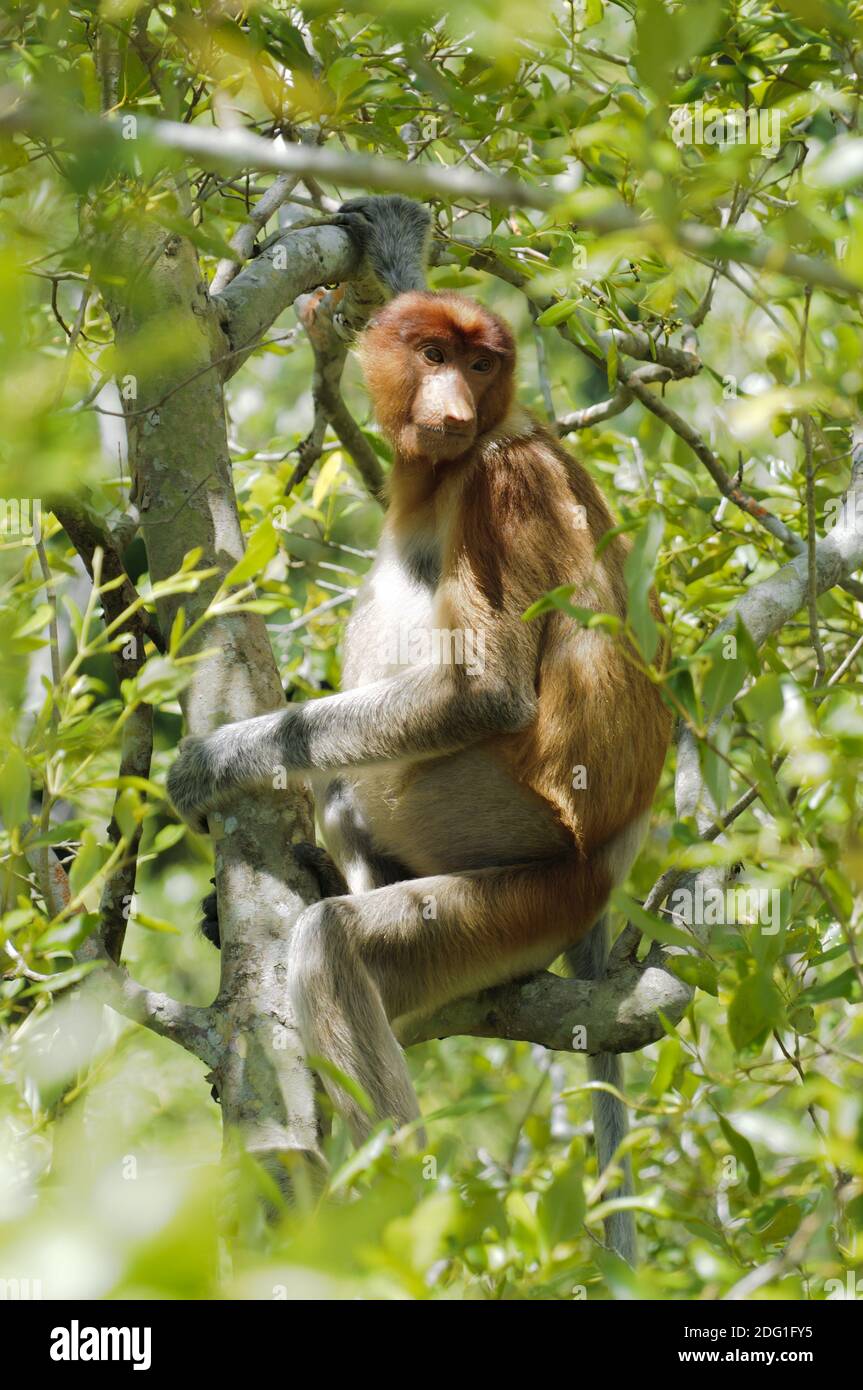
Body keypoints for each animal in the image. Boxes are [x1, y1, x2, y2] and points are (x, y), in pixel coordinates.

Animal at [168, 284, 672, 1263]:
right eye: (434, 354)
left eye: (479, 365)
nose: (454, 408)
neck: (451, 471)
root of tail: (611, 859)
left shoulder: (506, 485)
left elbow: (486, 694)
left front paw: (217, 762)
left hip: (517, 863)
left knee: (337, 939)